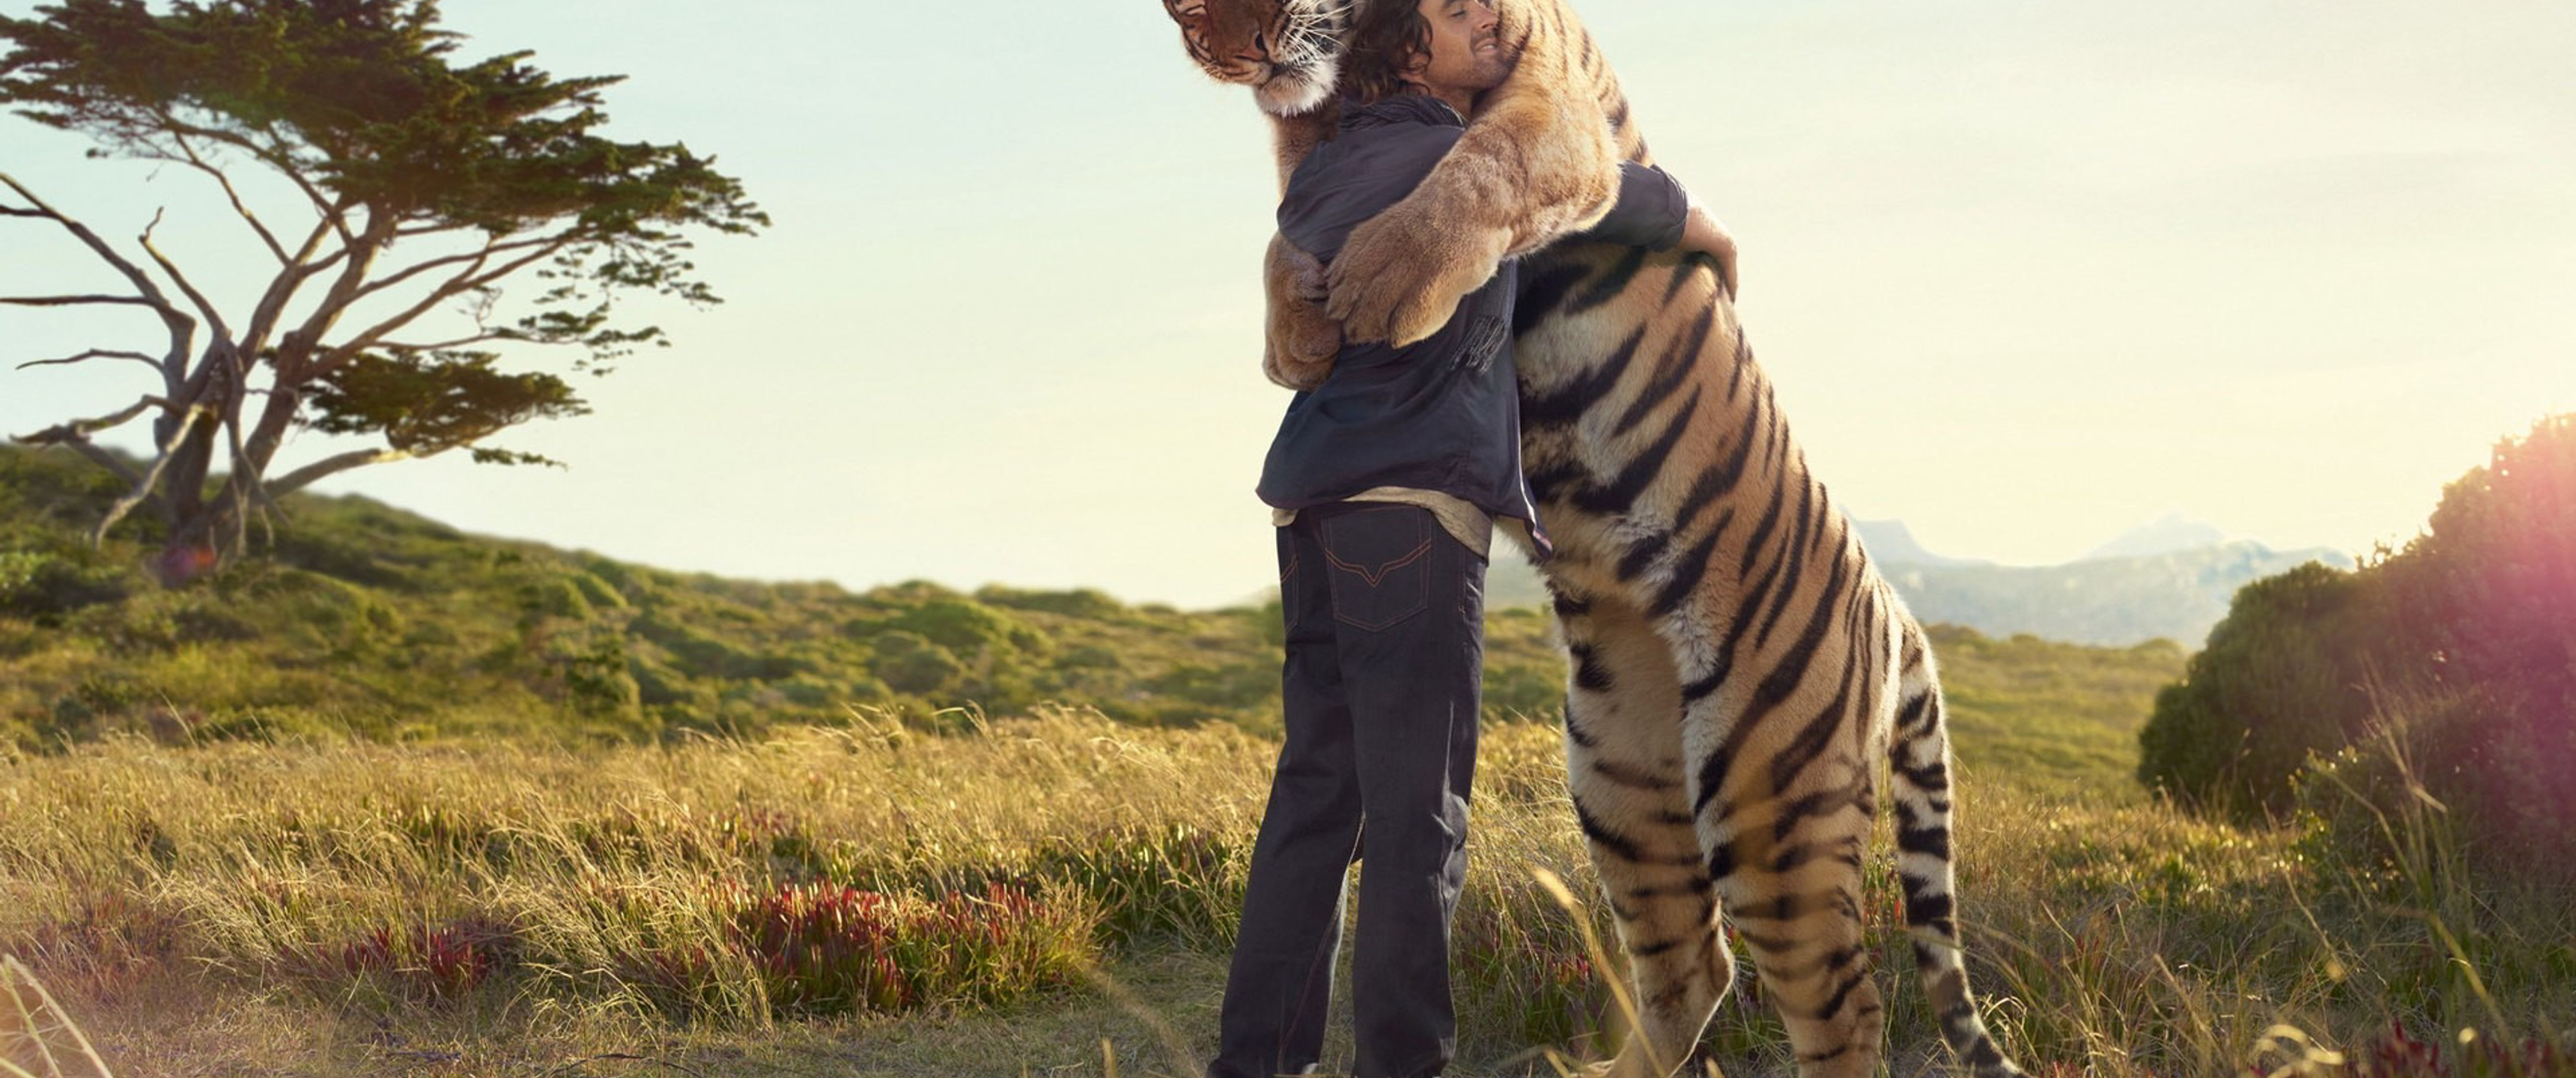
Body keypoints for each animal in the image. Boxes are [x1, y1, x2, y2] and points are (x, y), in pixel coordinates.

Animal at [1160, 1, 2032, 1077]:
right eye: (1182, 16)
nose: (1231, 57)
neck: (1352, 79)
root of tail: (1898, 612)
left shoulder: (1549, 109)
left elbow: (1482, 169)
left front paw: (1382, 286)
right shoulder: (1307, 152)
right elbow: (1284, 237)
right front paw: (1297, 334)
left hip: (1768, 805)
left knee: (1843, 1008)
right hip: (1622, 782)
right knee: (1695, 967)